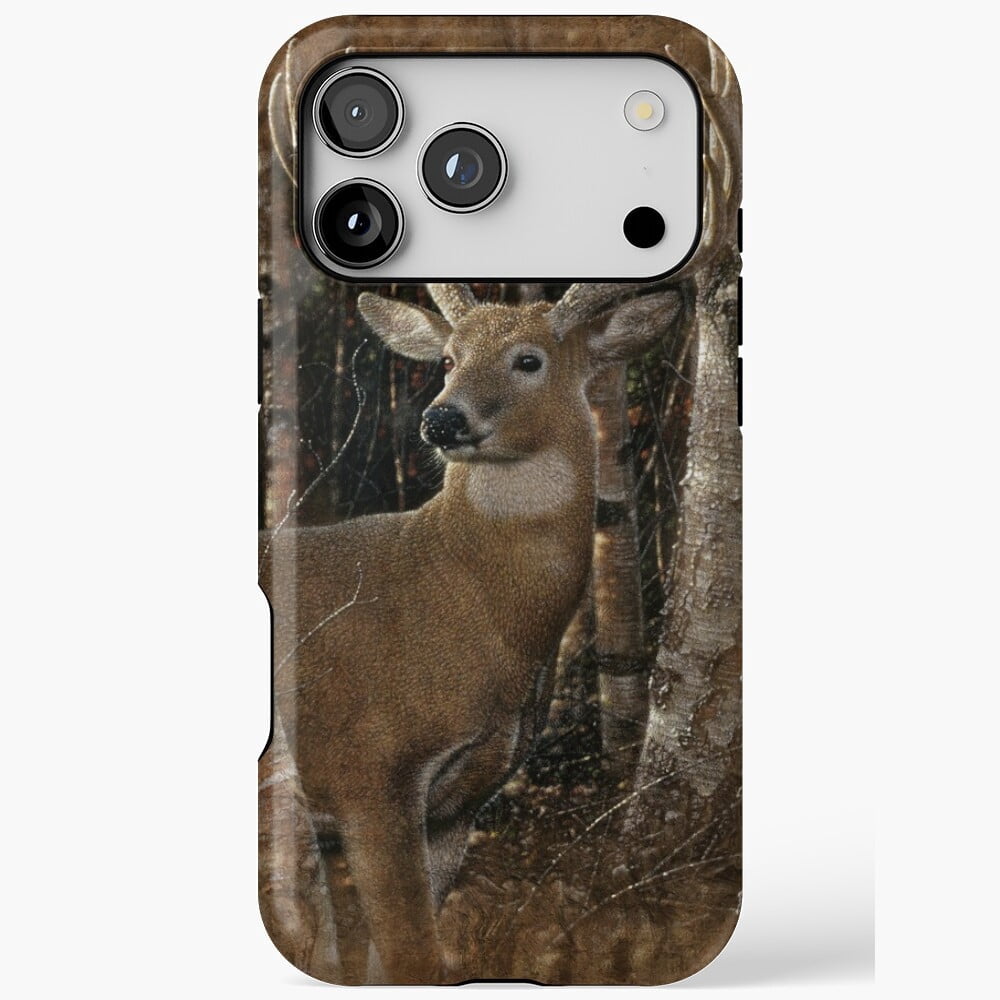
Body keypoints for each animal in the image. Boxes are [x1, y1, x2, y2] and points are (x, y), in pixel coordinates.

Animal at [260, 282, 682, 984]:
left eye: (529, 360)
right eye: (449, 358)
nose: (441, 420)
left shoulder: (459, 804)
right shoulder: (367, 770)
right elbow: (409, 953)